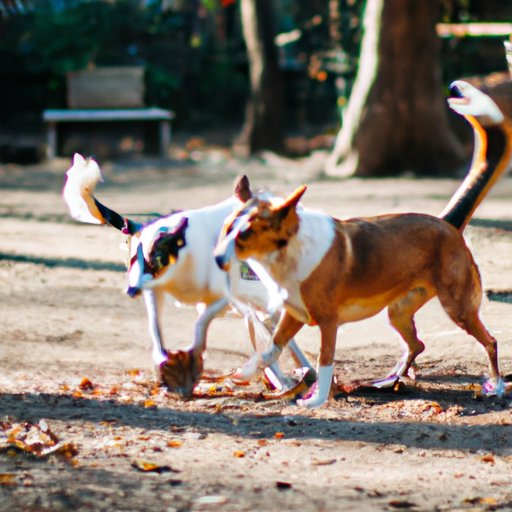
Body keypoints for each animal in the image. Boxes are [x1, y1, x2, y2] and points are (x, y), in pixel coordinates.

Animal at [215, 80, 512, 408]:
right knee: (417, 344)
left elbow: (324, 361)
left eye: (244, 233)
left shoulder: (328, 322)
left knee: (490, 342)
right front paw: (246, 373)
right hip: (398, 312)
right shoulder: (293, 317)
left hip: (458, 307)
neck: (288, 255)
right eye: (226, 228)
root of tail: (446, 222)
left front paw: (316, 400)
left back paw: (496, 386)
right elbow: (271, 348)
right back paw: (391, 379)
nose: (217, 259)